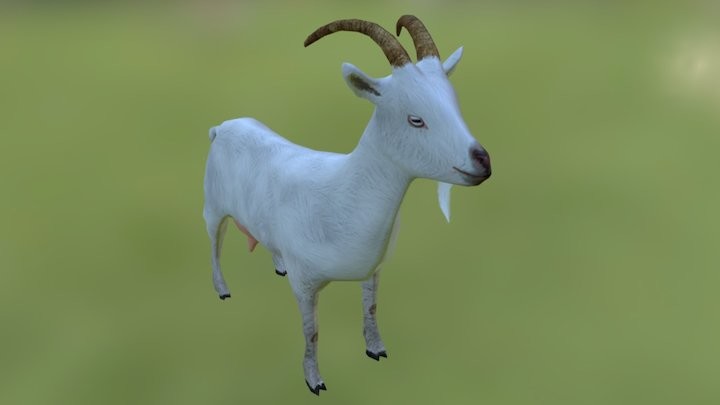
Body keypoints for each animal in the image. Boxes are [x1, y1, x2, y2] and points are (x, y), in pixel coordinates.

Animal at [203, 15, 491, 395]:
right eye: (415, 119)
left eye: (454, 104)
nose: (483, 162)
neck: (344, 193)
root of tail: (222, 126)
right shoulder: (305, 286)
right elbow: (311, 331)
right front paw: (314, 381)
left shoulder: (373, 269)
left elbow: (371, 309)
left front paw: (376, 349)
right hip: (213, 206)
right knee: (214, 243)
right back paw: (222, 290)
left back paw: (278, 265)